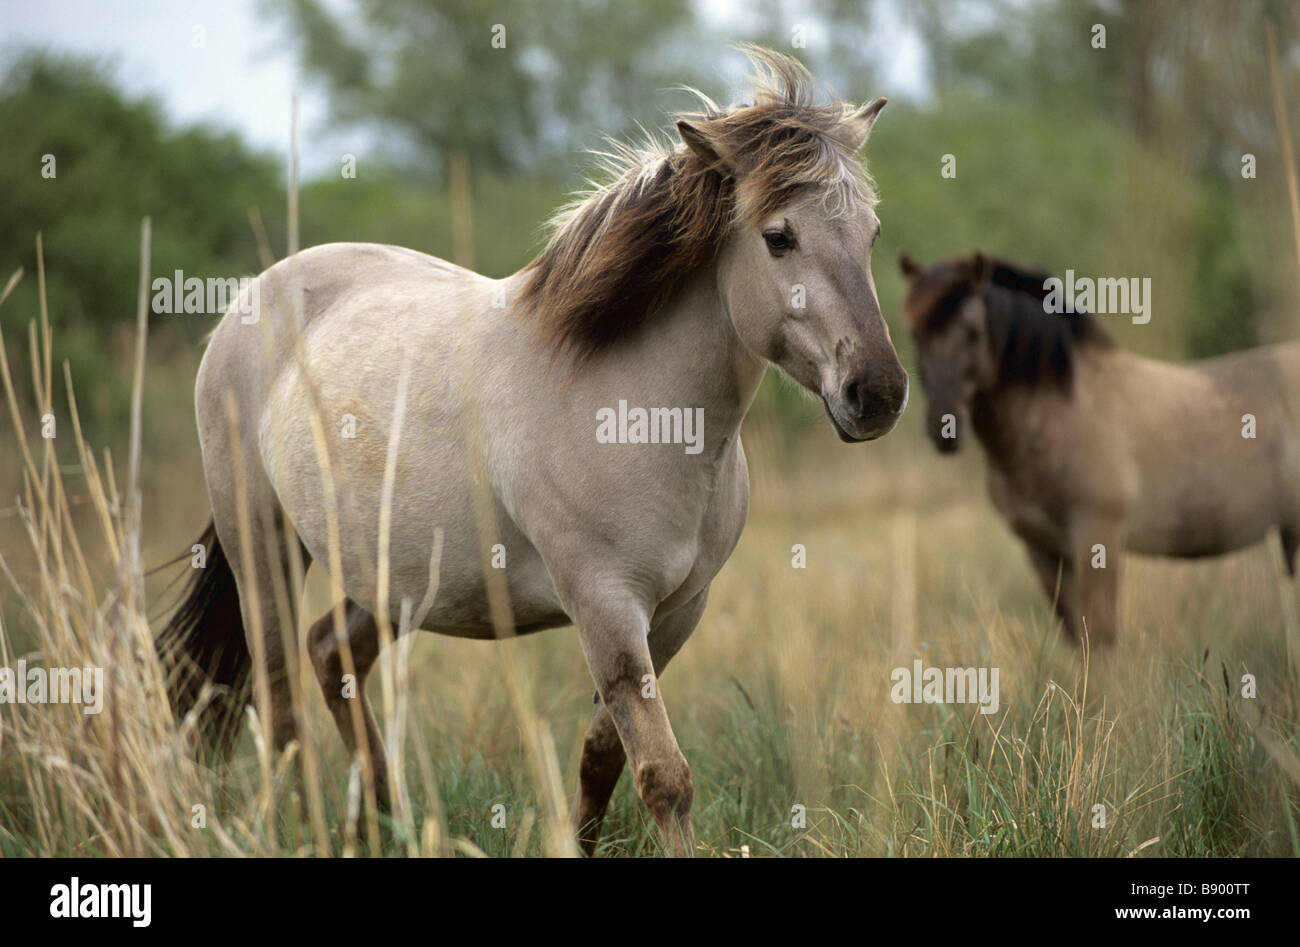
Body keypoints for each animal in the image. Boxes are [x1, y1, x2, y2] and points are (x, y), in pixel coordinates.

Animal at [157, 47, 908, 857]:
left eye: (870, 233)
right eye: (778, 237)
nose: (878, 391)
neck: (636, 410)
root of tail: (247, 301)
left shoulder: (677, 612)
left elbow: (603, 756)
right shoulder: (606, 608)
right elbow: (663, 776)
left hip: (392, 576)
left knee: (332, 656)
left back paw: (387, 820)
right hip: (262, 548)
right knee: (281, 706)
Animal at [899, 250, 1300, 648]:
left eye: (974, 332)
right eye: (915, 336)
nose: (943, 427)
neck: (1061, 413)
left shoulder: (1097, 539)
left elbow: (1101, 636)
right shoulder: (1042, 549)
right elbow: (1078, 638)